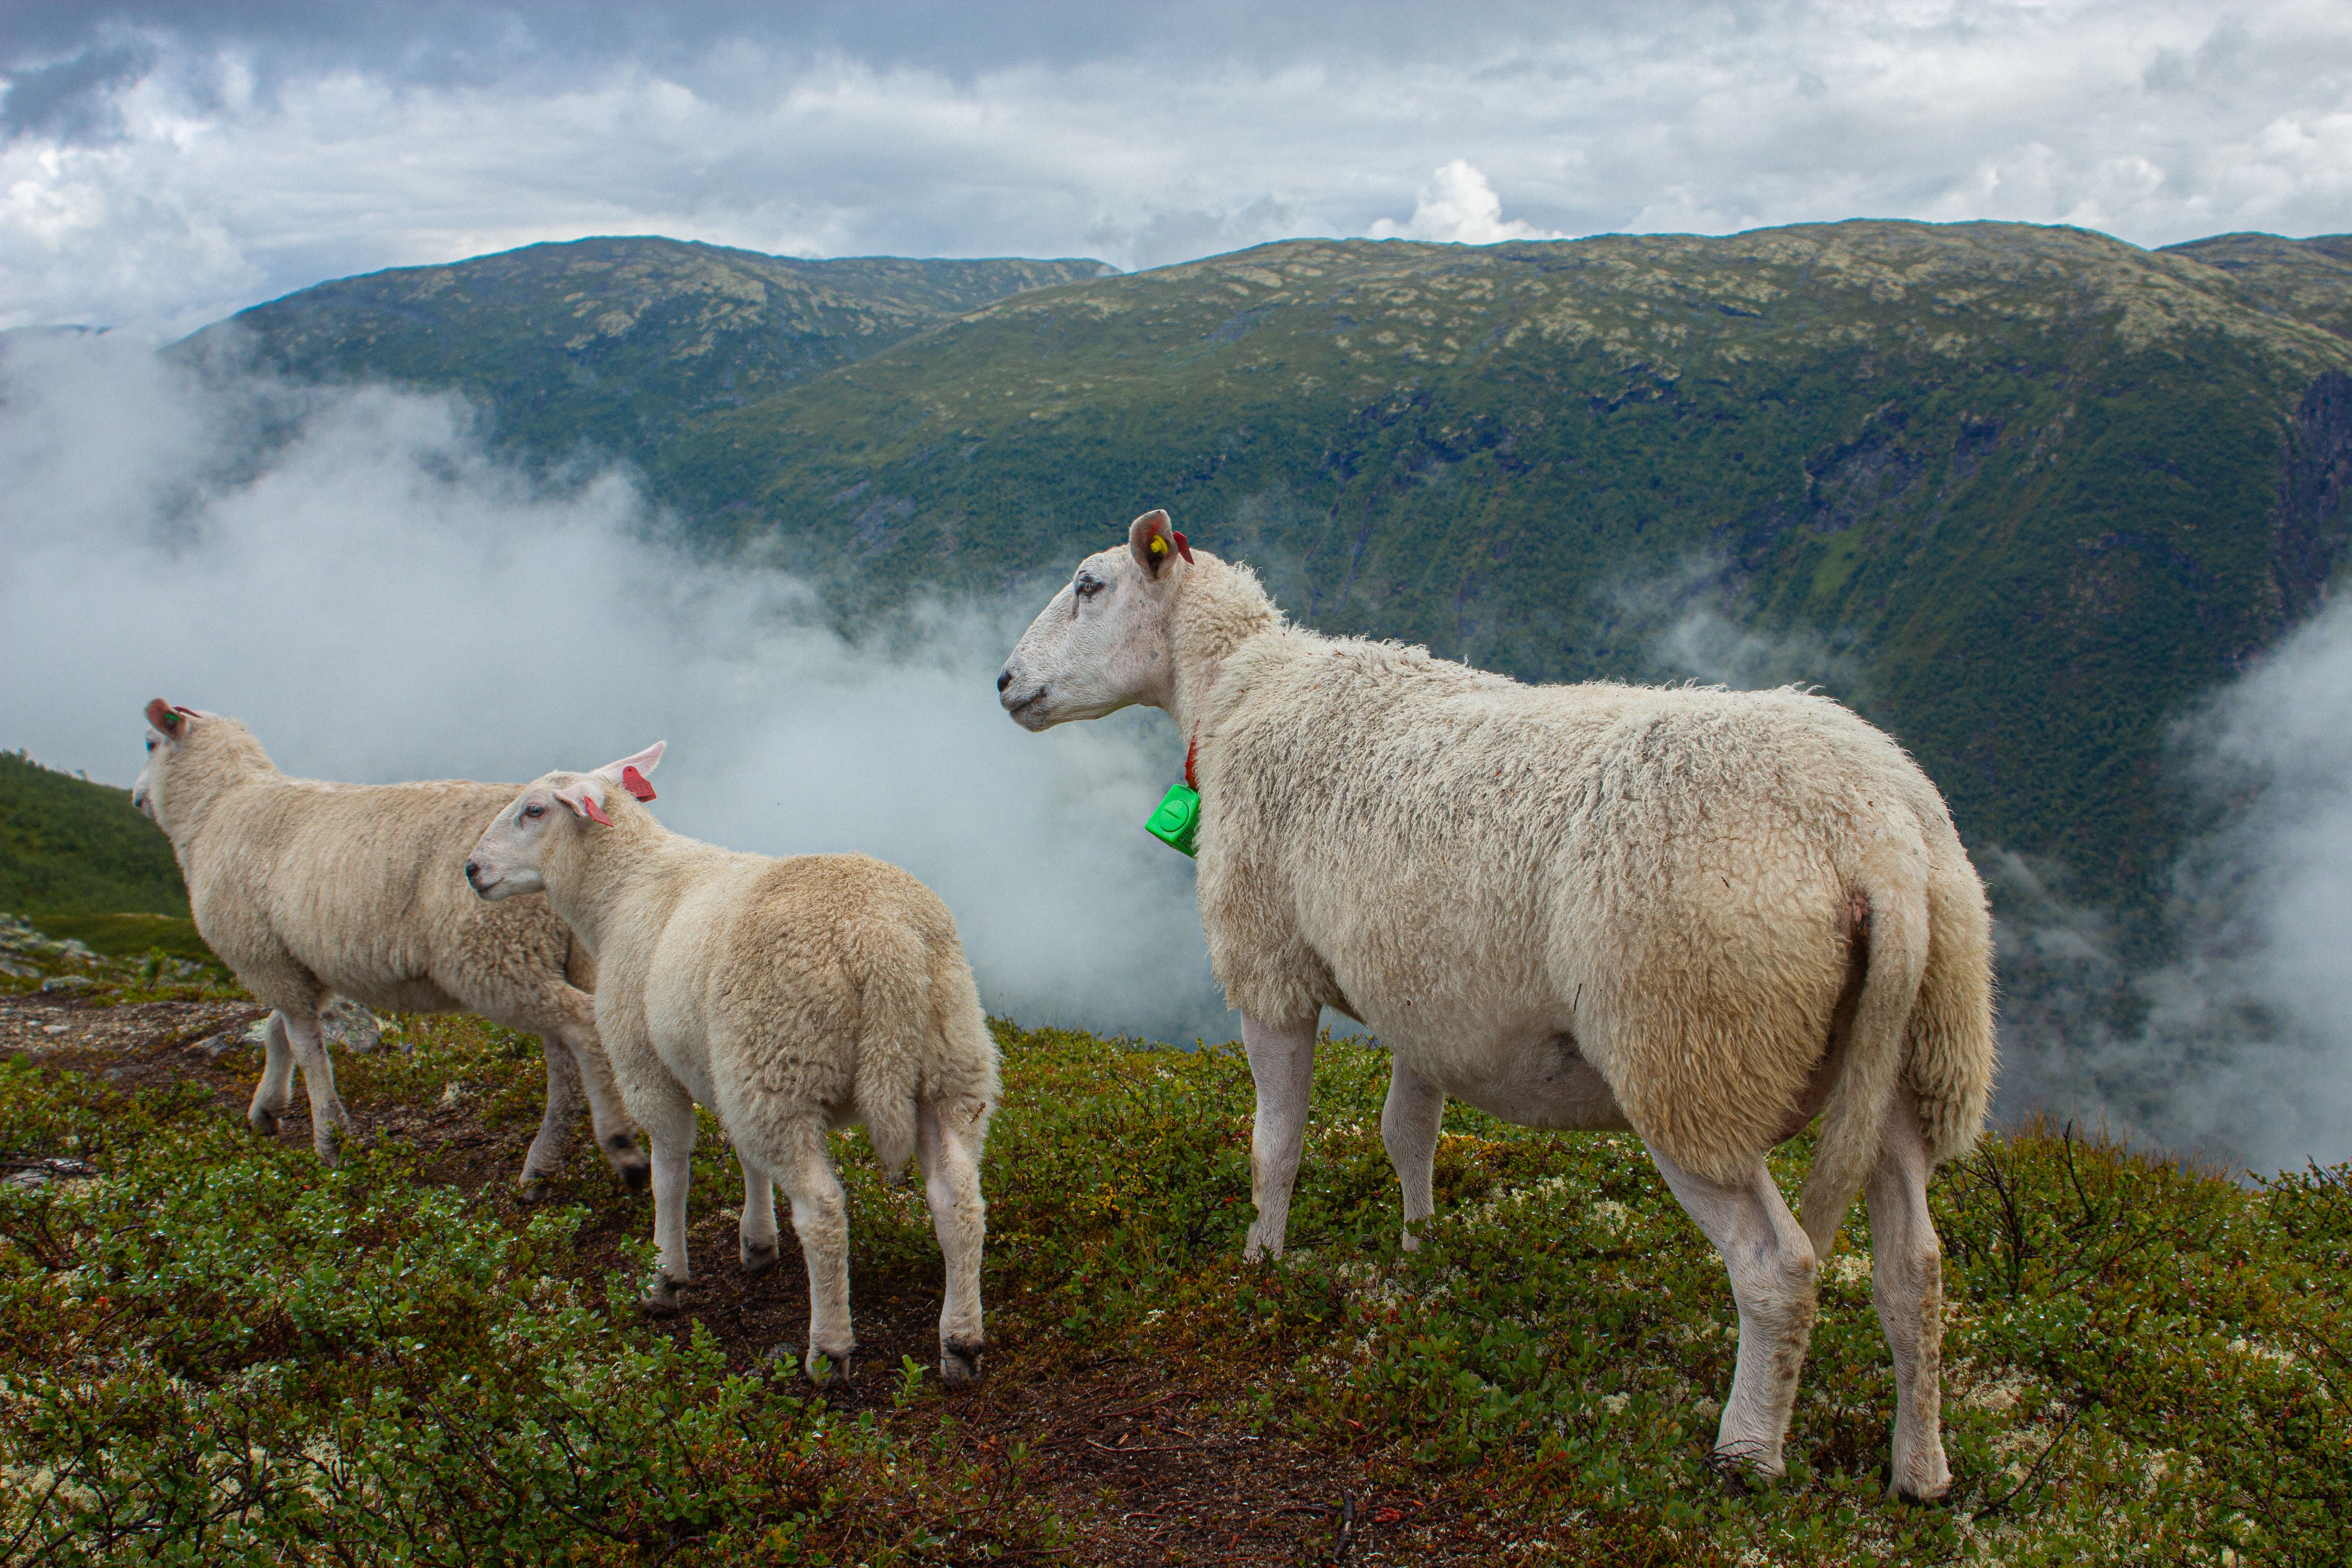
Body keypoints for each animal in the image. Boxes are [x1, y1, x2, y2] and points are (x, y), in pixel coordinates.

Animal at [131, 701, 649, 1193]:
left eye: (149, 744)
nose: (136, 798)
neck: (217, 808)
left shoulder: (263, 957)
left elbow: (305, 1044)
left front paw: (331, 1139)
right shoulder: (293, 959)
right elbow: (279, 1029)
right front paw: (268, 1110)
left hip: (492, 954)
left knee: (581, 1028)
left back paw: (619, 1148)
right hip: (553, 956)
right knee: (566, 1055)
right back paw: (547, 1162)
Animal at [463, 744, 999, 1388]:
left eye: (535, 810)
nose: (472, 870)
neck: (625, 888)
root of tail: (881, 943)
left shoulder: (647, 1066)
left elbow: (671, 1171)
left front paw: (665, 1276)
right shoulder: (724, 1070)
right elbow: (747, 1159)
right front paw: (758, 1243)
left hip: (782, 1062)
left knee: (823, 1210)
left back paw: (829, 1349)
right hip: (943, 1065)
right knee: (957, 1198)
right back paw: (960, 1342)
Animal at [996, 511, 1997, 1500]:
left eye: (1089, 585)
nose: (1004, 683)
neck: (1236, 688)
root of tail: (1874, 839)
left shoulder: (1268, 962)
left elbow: (1274, 1143)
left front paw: (1262, 1266)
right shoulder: (1425, 1000)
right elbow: (1408, 1134)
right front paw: (1419, 1250)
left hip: (1691, 1049)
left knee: (1776, 1266)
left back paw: (1746, 1451)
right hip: (1917, 1048)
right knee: (1914, 1268)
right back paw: (1920, 1472)